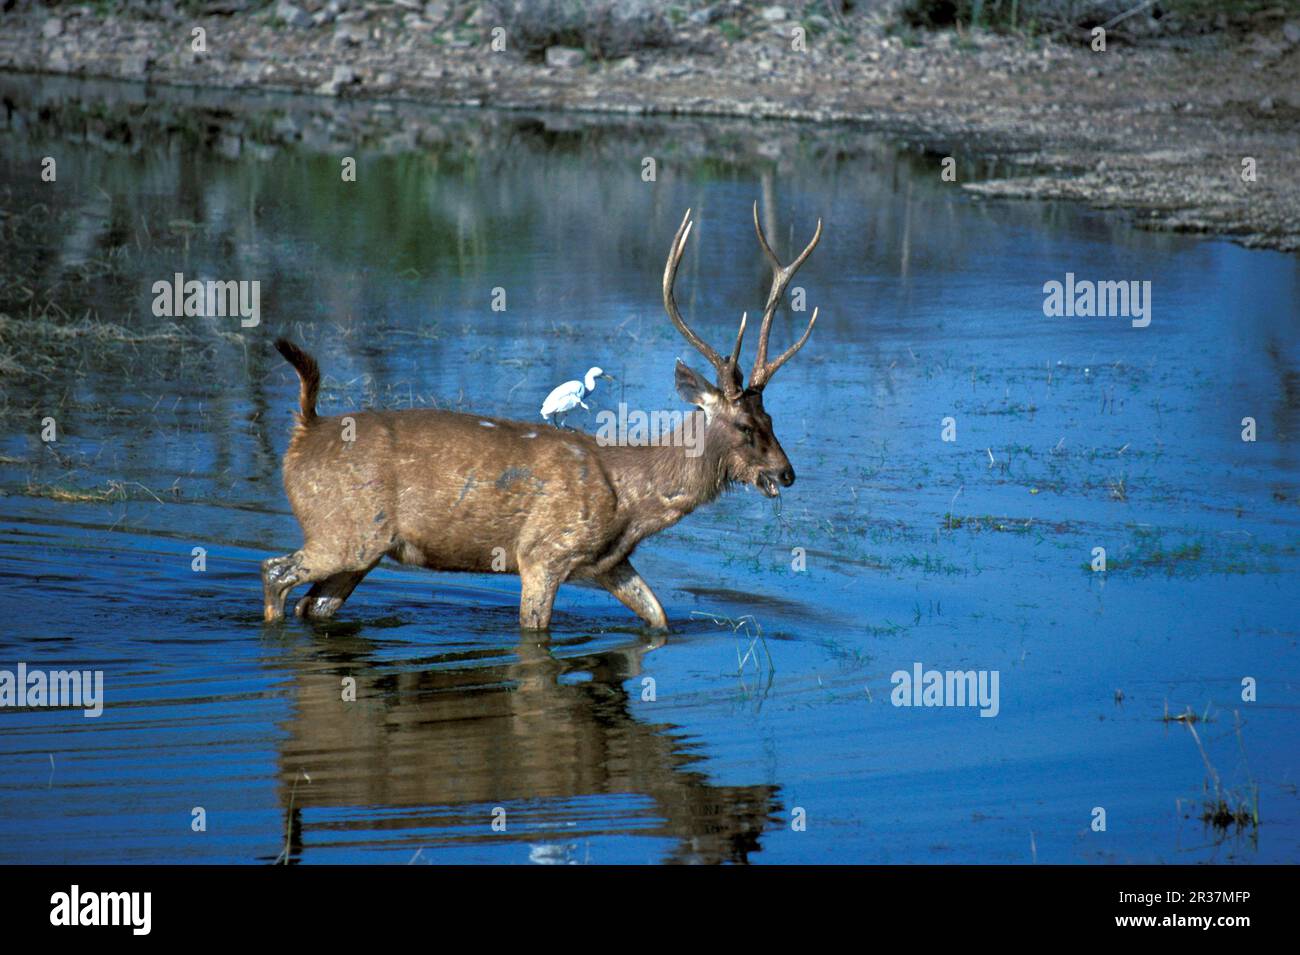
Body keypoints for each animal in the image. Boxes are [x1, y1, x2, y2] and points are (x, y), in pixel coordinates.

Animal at [262, 203, 822, 630]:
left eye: (773, 419)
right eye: (746, 427)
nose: (787, 474)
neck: (630, 500)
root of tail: (304, 432)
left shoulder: (611, 564)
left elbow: (660, 618)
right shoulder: (541, 554)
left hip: (362, 547)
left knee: (315, 605)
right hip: (343, 529)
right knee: (274, 572)